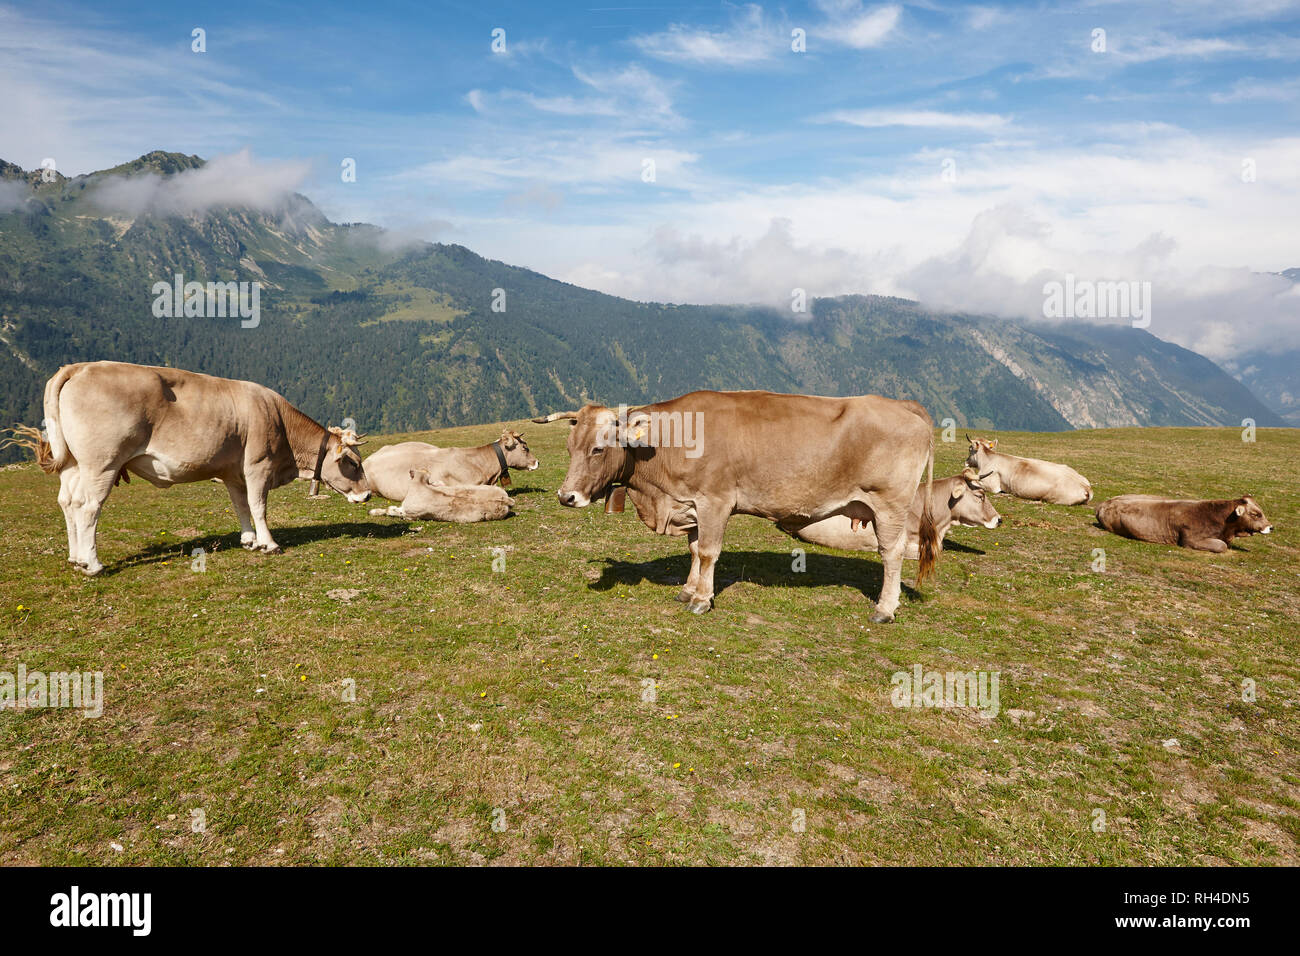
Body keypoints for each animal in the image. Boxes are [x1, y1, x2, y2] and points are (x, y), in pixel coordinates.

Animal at [9, 361, 370, 575]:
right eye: (351, 463)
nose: (367, 495)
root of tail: (79, 367)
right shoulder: (257, 465)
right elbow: (258, 506)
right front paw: (269, 544)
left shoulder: (233, 472)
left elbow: (241, 506)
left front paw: (249, 540)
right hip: (101, 463)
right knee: (88, 506)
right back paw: (93, 563)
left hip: (73, 464)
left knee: (68, 502)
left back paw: (75, 557)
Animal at [535, 390, 939, 623]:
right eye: (570, 446)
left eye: (598, 448)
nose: (566, 496)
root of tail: (903, 405)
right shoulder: (691, 504)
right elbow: (695, 550)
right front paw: (688, 589)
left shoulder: (715, 500)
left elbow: (709, 552)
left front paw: (702, 600)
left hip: (889, 504)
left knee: (892, 553)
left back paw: (885, 609)